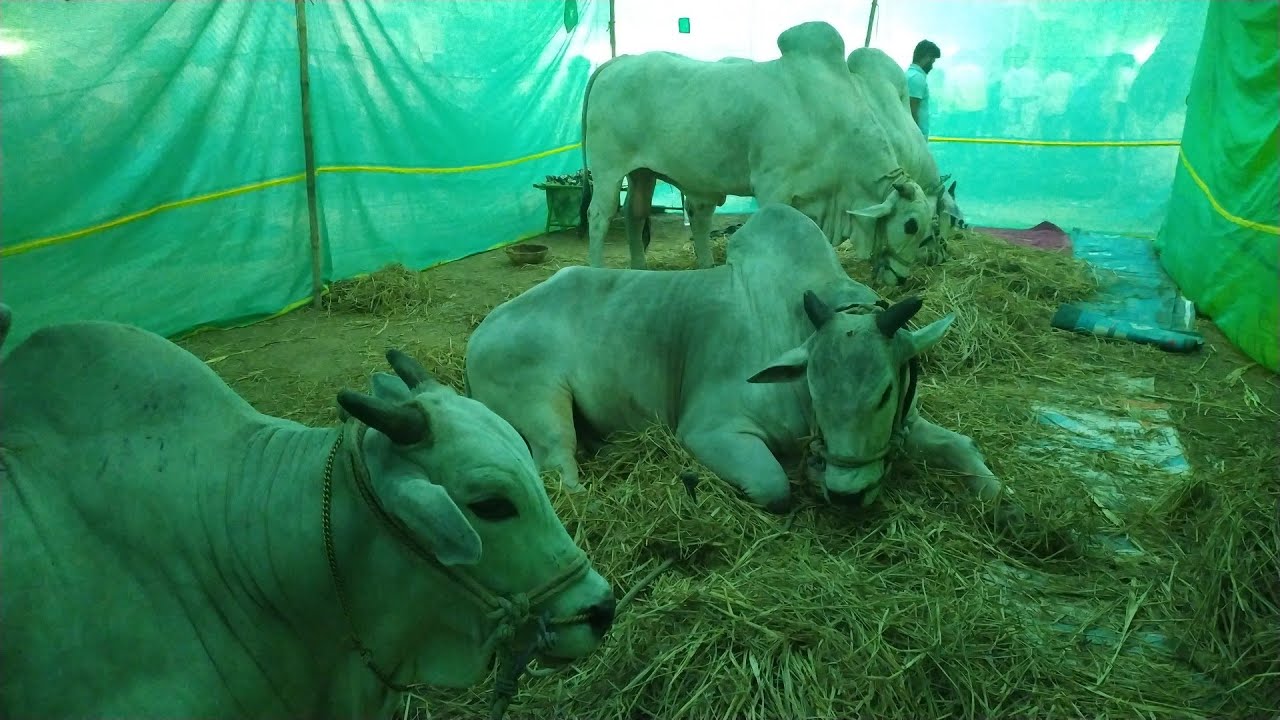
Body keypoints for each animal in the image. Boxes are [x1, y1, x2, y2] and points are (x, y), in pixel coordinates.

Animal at [465, 203, 1021, 527]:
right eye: (815, 388)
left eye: (885, 391)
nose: (845, 495)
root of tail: (481, 331)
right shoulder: (708, 430)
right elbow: (775, 486)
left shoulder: (906, 422)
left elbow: (960, 445)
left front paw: (999, 498)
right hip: (543, 409)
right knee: (558, 471)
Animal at [577, 21, 933, 286]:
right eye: (911, 225)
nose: (901, 279)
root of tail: (619, 60)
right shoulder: (773, 186)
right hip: (609, 171)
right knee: (600, 215)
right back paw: (595, 270)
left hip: (643, 172)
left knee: (634, 214)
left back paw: (640, 269)